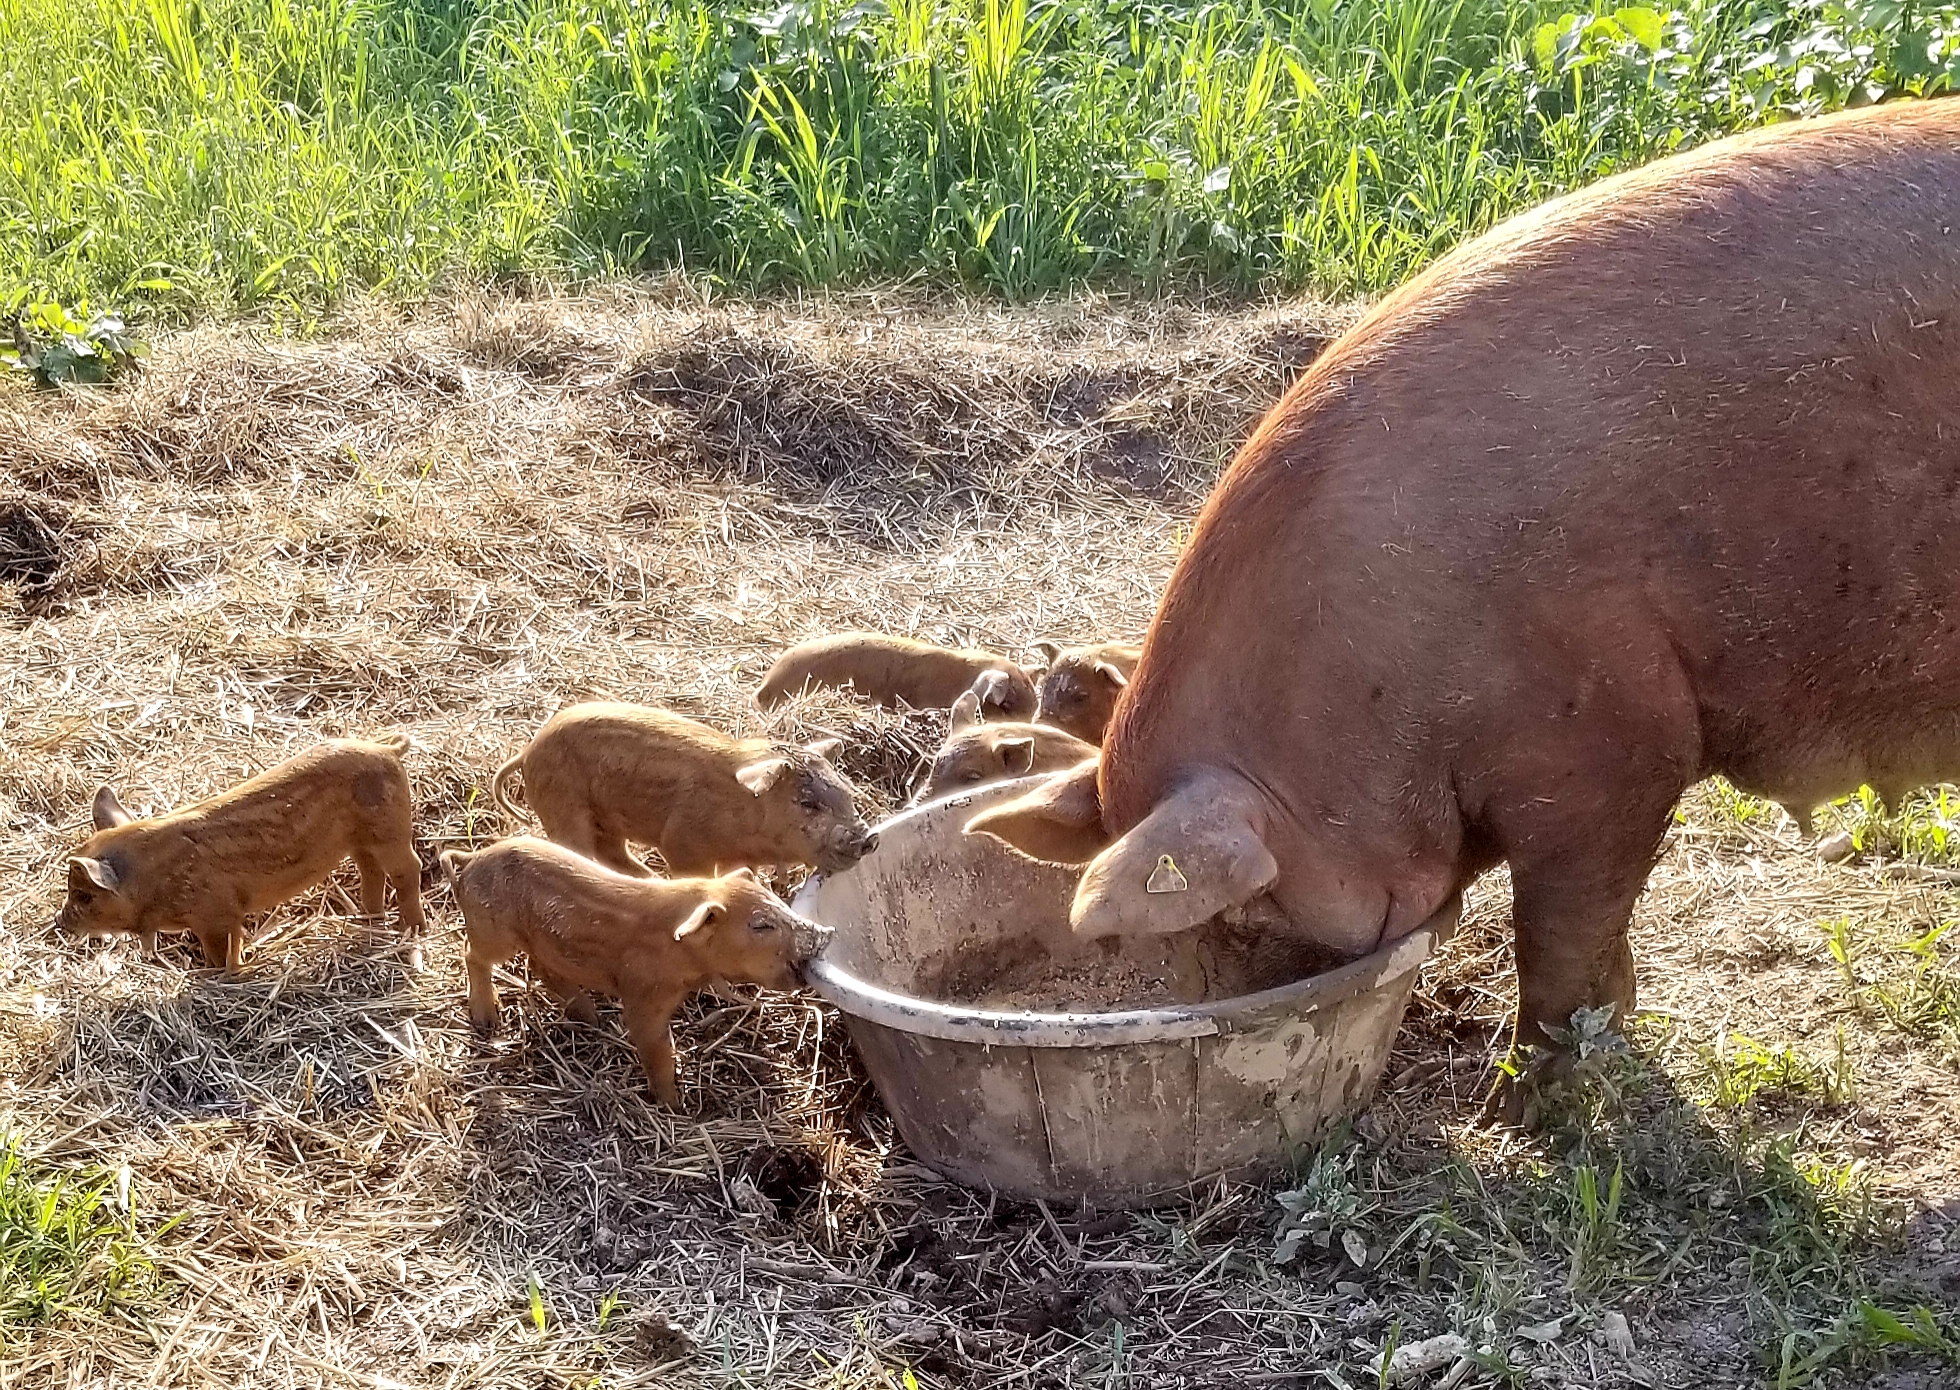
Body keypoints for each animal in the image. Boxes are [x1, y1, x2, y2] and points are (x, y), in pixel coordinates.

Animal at [54, 735, 425, 971]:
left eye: (84, 894)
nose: (59, 920)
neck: (152, 882)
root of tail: (390, 749)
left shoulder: (217, 915)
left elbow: (222, 955)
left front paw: (221, 975)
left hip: (391, 833)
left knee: (409, 868)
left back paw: (413, 929)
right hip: (361, 842)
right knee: (371, 871)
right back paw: (369, 922)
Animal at [442, 836, 831, 1106]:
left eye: (778, 901)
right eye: (760, 925)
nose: (824, 932)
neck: (685, 956)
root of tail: (470, 860)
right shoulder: (642, 995)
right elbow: (655, 1048)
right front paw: (674, 1106)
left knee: (544, 968)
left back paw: (590, 1020)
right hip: (493, 930)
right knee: (473, 955)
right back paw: (488, 1023)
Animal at [489, 702, 875, 878]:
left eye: (847, 794)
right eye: (808, 804)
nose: (868, 838)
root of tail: (528, 750)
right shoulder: (681, 842)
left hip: (606, 822)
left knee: (614, 854)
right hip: (563, 806)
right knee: (581, 850)